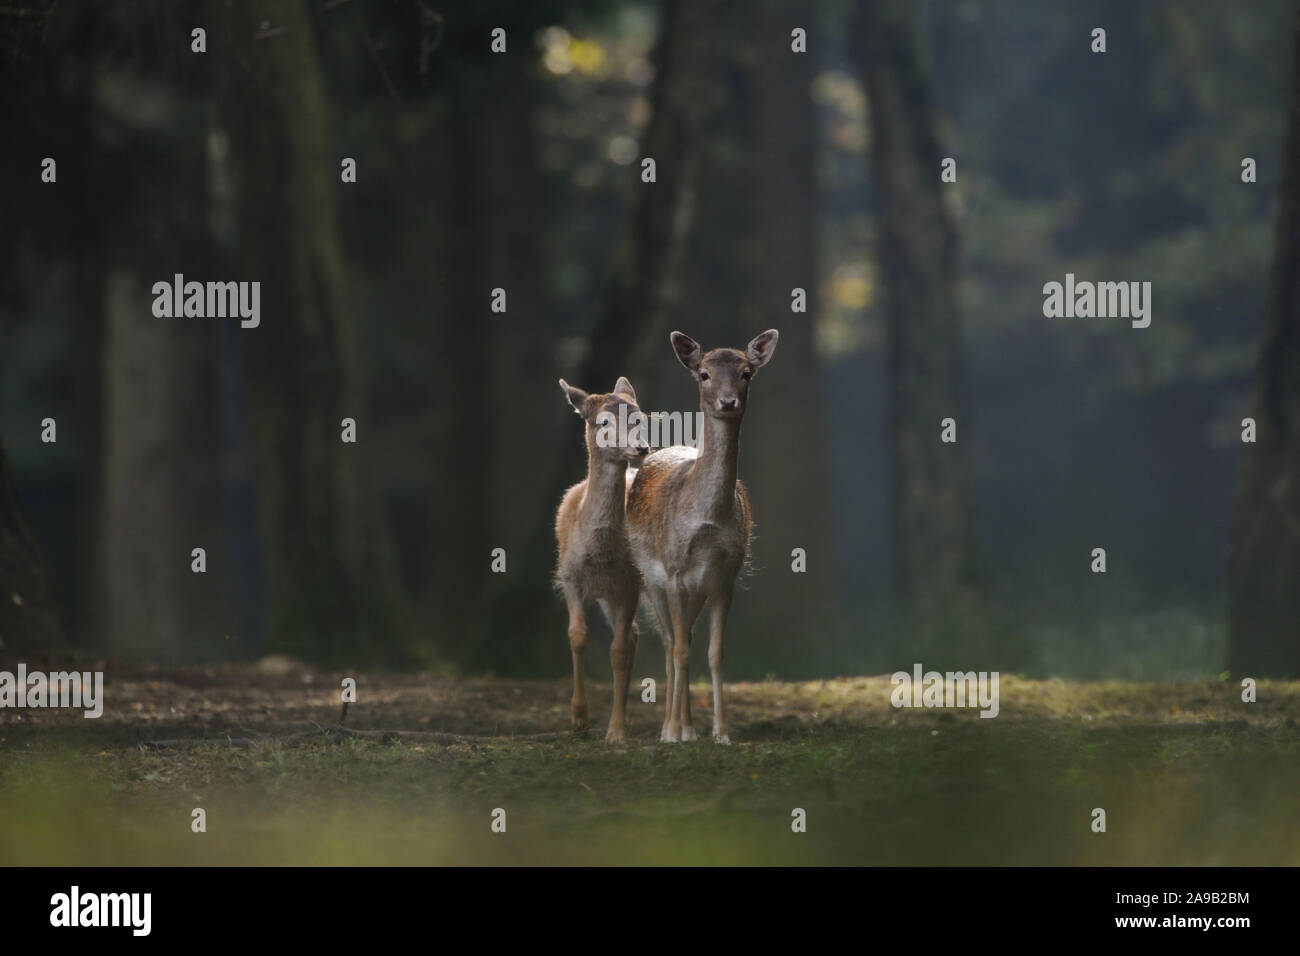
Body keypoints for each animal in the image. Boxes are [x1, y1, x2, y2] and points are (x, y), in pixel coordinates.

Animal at [553, 377, 650, 743]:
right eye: (603, 421)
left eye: (640, 417)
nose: (641, 448)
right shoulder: (569, 576)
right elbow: (577, 635)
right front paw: (579, 719)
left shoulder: (629, 584)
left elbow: (618, 651)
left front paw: (616, 730)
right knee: (635, 634)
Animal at [629, 327, 780, 738]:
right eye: (704, 374)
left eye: (746, 374)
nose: (728, 401)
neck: (708, 521)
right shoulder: (674, 569)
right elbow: (679, 649)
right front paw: (674, 732)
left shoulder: (725, 576)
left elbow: (715, 653)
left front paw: (721, 732)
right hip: (650, 579)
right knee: (670, 644)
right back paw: (671, 729)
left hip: (694, 590)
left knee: (687, 640)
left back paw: (688, 726)